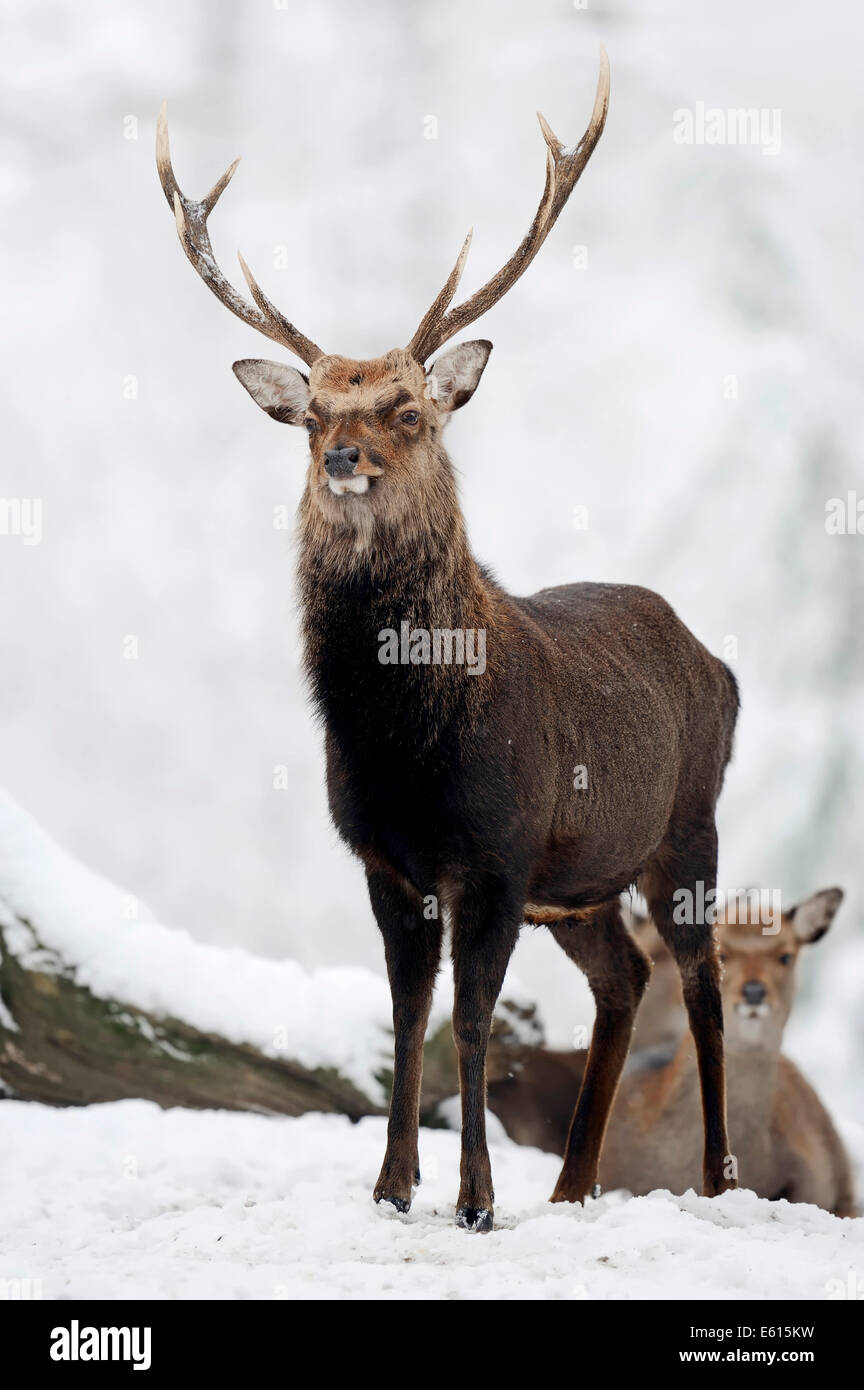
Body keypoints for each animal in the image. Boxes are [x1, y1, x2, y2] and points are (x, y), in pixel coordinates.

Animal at [156, 49, 741, 1232]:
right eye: (312, 415)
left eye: (409, 410)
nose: (345, 457)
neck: (408, 747)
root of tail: (723, 665)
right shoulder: (387, 860)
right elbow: (403, 1018)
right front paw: (391, 1188)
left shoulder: (500, 854)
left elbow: (469, 1018)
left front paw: (472, 1198)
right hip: (585, 881)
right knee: (624, 977)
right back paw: (571, 1184)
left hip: (687, 824)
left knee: (699, 984)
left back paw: (713, 1179)